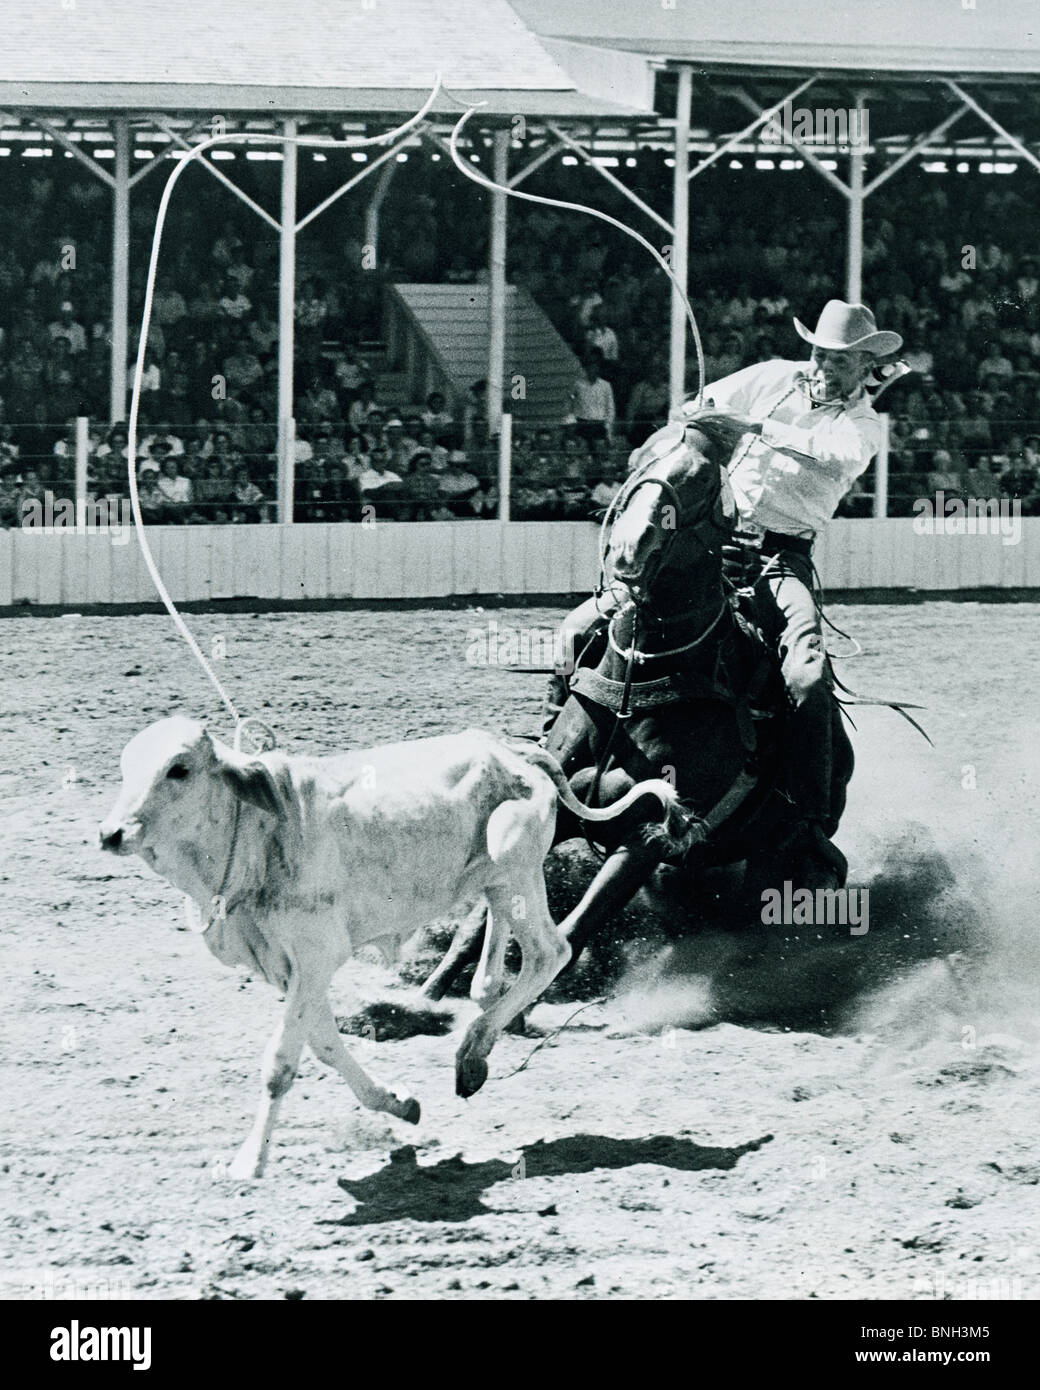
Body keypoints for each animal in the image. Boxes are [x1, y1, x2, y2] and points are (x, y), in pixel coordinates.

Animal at [98, 716, 684, 1178]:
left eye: (178, 769)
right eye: (126, 769)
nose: (110, 833)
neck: (257, 834)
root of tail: (515, 751)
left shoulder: (316, 956)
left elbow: (281, 1063)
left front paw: (250, 1162)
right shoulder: (291, 972)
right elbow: (325, 1045)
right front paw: (399, 1104)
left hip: (515, 866)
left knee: (549, 952)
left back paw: (473, 1050)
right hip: (501, 879)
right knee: (495, 959)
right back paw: (480, 1024)